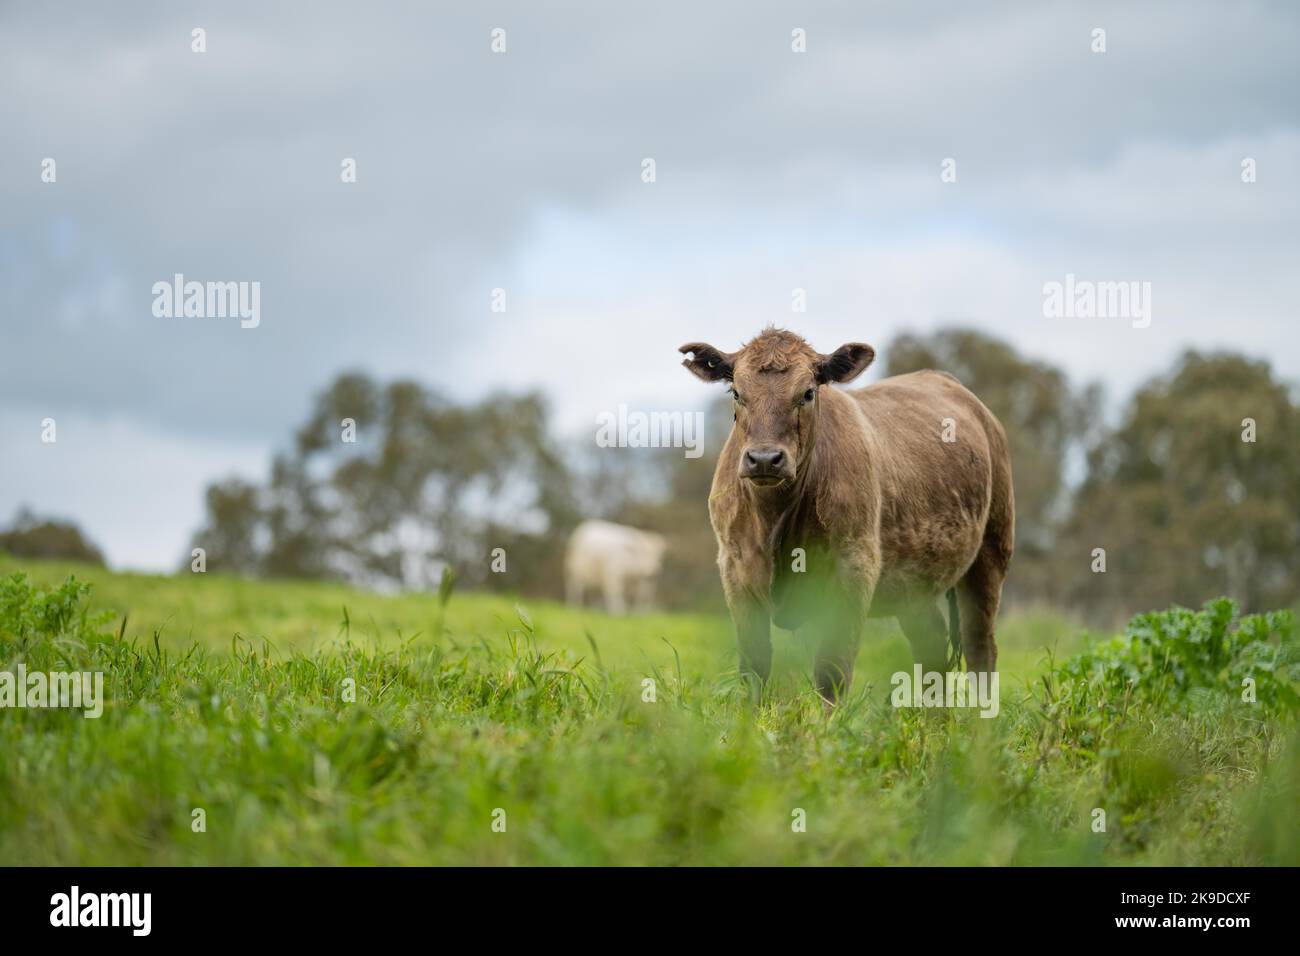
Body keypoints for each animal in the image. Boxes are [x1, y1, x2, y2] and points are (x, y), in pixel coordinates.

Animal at [680, 327, 1014, 705]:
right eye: (736, 391)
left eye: (808, 393)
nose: (764, 459)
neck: (775, 519)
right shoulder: (734, 567)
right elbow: (754, 667)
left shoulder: (854, 566)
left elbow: (832, 671)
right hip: (914, 581)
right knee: (930, 645)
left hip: (990, 554)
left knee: (980, 649)